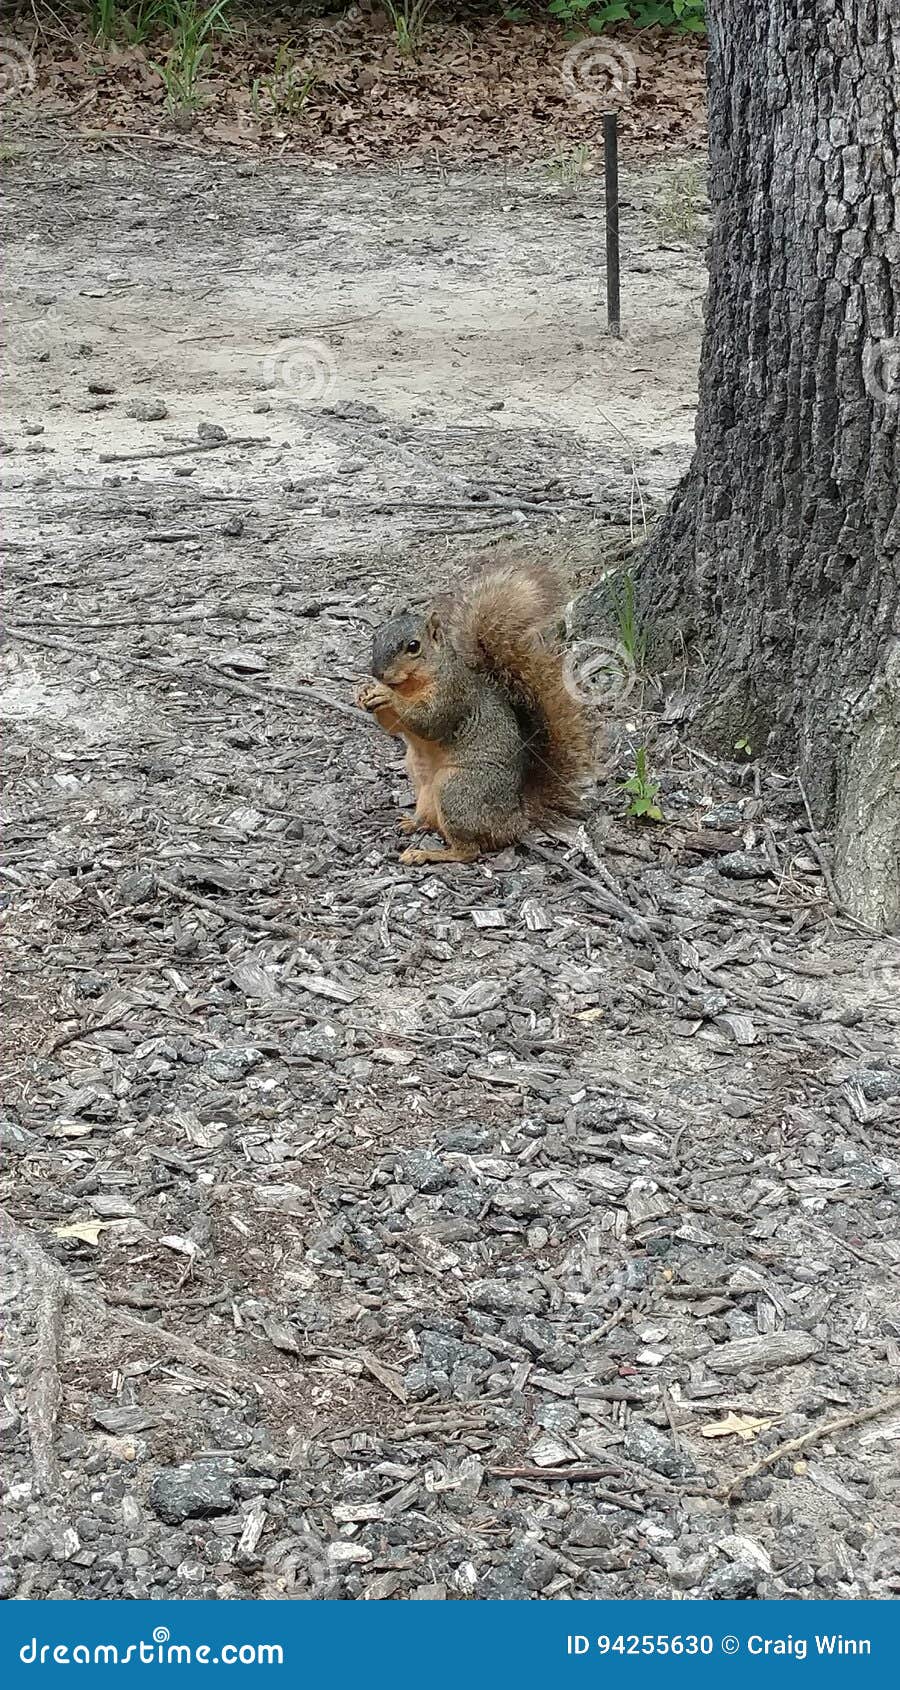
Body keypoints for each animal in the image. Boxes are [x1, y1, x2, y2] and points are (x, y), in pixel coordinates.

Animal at [355, 560, 593, 865]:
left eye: (413, 646)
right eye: (376, 636)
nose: (378, 673)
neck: (412, 685)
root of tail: (514, 818)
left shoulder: (453, 695)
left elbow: (429, 722)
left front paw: (386, 695)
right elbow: (394, 728)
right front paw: (363, 693)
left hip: (458, 790)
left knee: (468, 851)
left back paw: (427, 853)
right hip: (420, 780)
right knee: (431, 820)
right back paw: (412, 823)